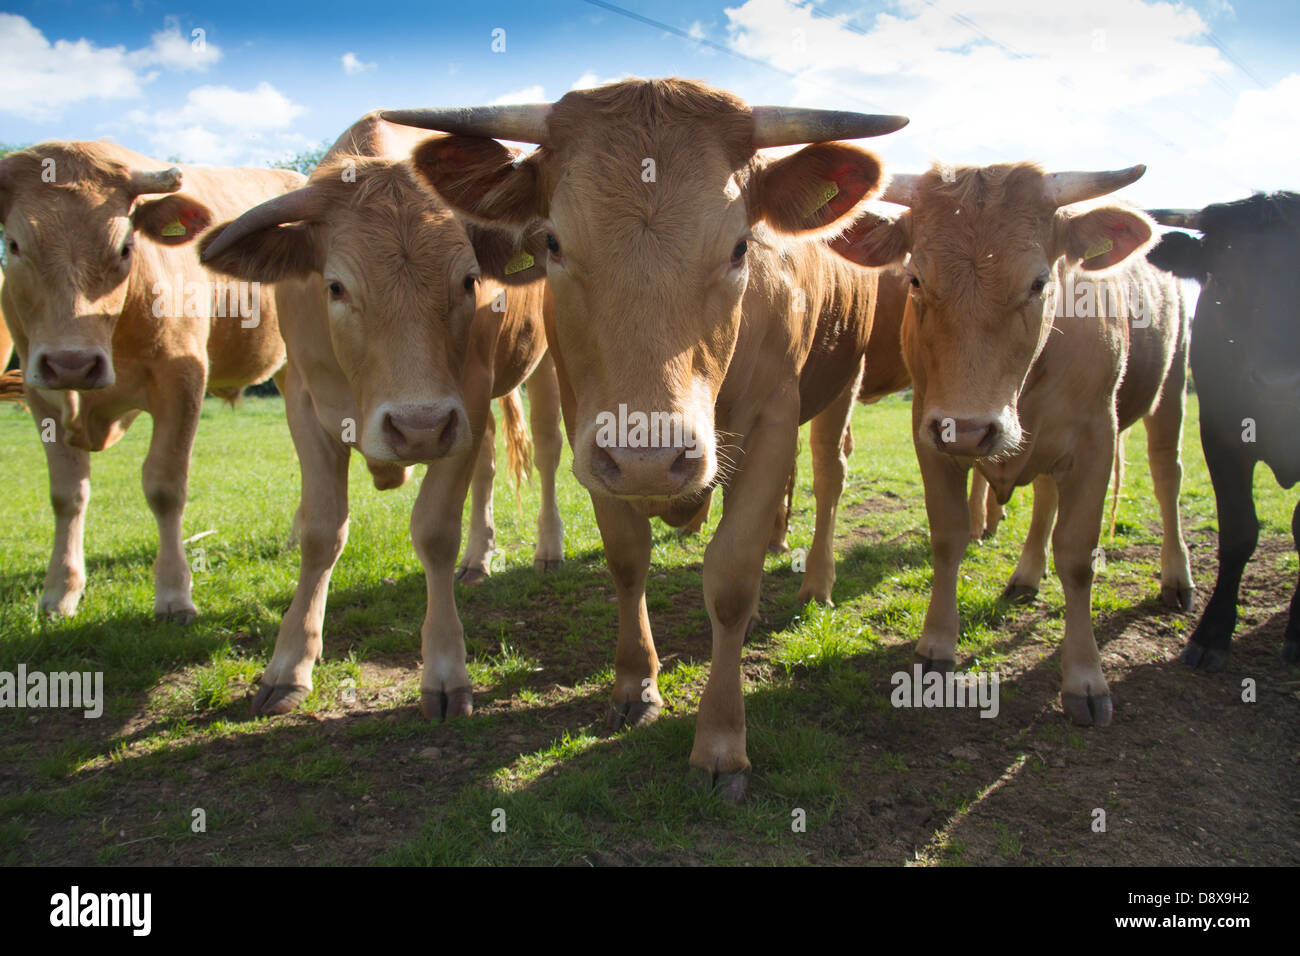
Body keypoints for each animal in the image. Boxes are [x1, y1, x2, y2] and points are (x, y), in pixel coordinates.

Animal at [0, 142, 298, 620]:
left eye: (125, 247)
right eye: (13, 245)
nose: (72, 364)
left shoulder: (181, 377)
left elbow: (165, 486)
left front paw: (174, 592)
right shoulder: (39, 388)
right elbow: (67, 494)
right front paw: (59, 591)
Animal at [198, 113, 564, 719]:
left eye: (469, 280)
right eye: (335, 286)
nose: (418, 428)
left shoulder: (462, 400)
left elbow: (434, 530)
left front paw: (445, 669)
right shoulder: (306, 403)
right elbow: (322, 531)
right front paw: (290, 662)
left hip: (542, 368)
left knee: (549, 453)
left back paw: (548, 548)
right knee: (486, 465)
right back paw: (478, 557)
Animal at [384, 78, 907, 799]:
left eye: (741, 246)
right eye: (553, 243)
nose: (651, 460)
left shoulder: (773, 420)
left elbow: (731, 579)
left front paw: (721, 741)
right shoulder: (590, 432)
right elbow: (627, 557)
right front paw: (636, 683)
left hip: (840, 385)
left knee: (829, 475)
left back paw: (816, 581)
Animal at [832, 162, 1194, 726]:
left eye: (1039, 282)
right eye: (916, 279)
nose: (969, 429)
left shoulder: (1096, 440)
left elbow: (1077, 556)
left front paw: (1085, 676)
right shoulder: (929, 434)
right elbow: (949, 537)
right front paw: (937, 644)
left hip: (1172, 388)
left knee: (1167, 478)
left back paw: (1176, 578)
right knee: (1045, 498)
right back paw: (1026, 575)